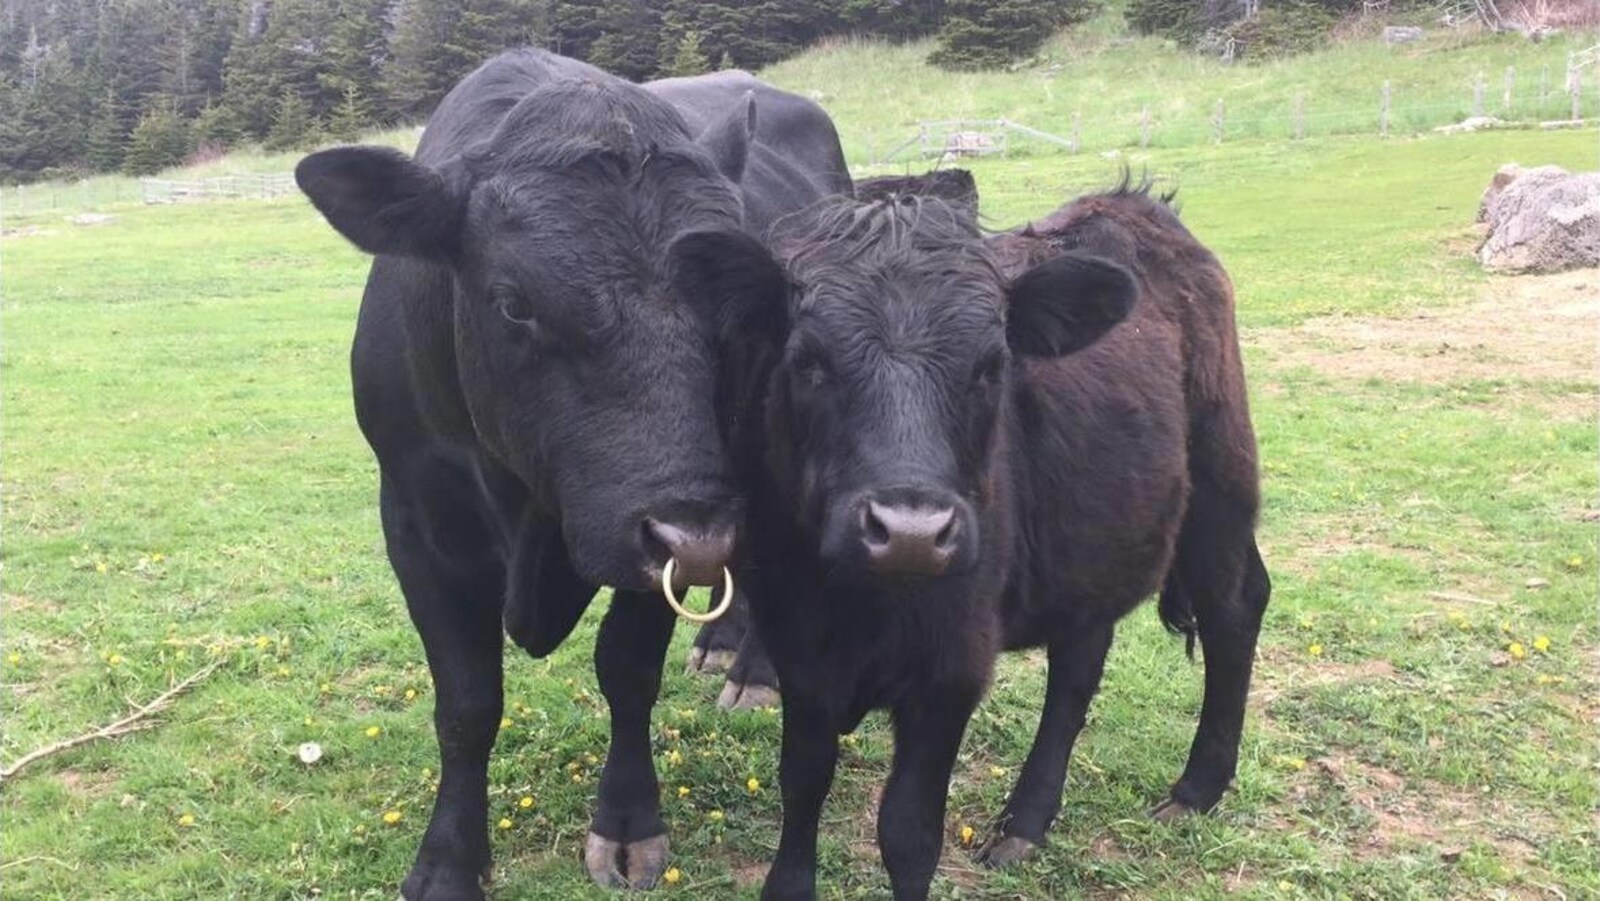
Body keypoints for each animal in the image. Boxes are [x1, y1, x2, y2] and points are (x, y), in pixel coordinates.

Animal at [294, 49, 848, 899]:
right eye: (515, 304)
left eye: (734, 298)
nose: (703, 536)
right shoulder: (416, 519)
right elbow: (466, 701)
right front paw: (449, 857)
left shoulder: (660, 529)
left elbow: (626, 668)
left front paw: (627, 824)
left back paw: (751, 667)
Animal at [671, 183, 1269, 900]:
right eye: (808, 361)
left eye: (990, 366)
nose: (910, 533)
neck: (858, 609)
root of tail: (1138, 204)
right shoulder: (800, 648)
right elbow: (803, 783)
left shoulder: (951, 668)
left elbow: (908, 831)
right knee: (1079, 663)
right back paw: (1026, 821)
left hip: (1219, 490)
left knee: (1235, 609)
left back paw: (1197, 787)